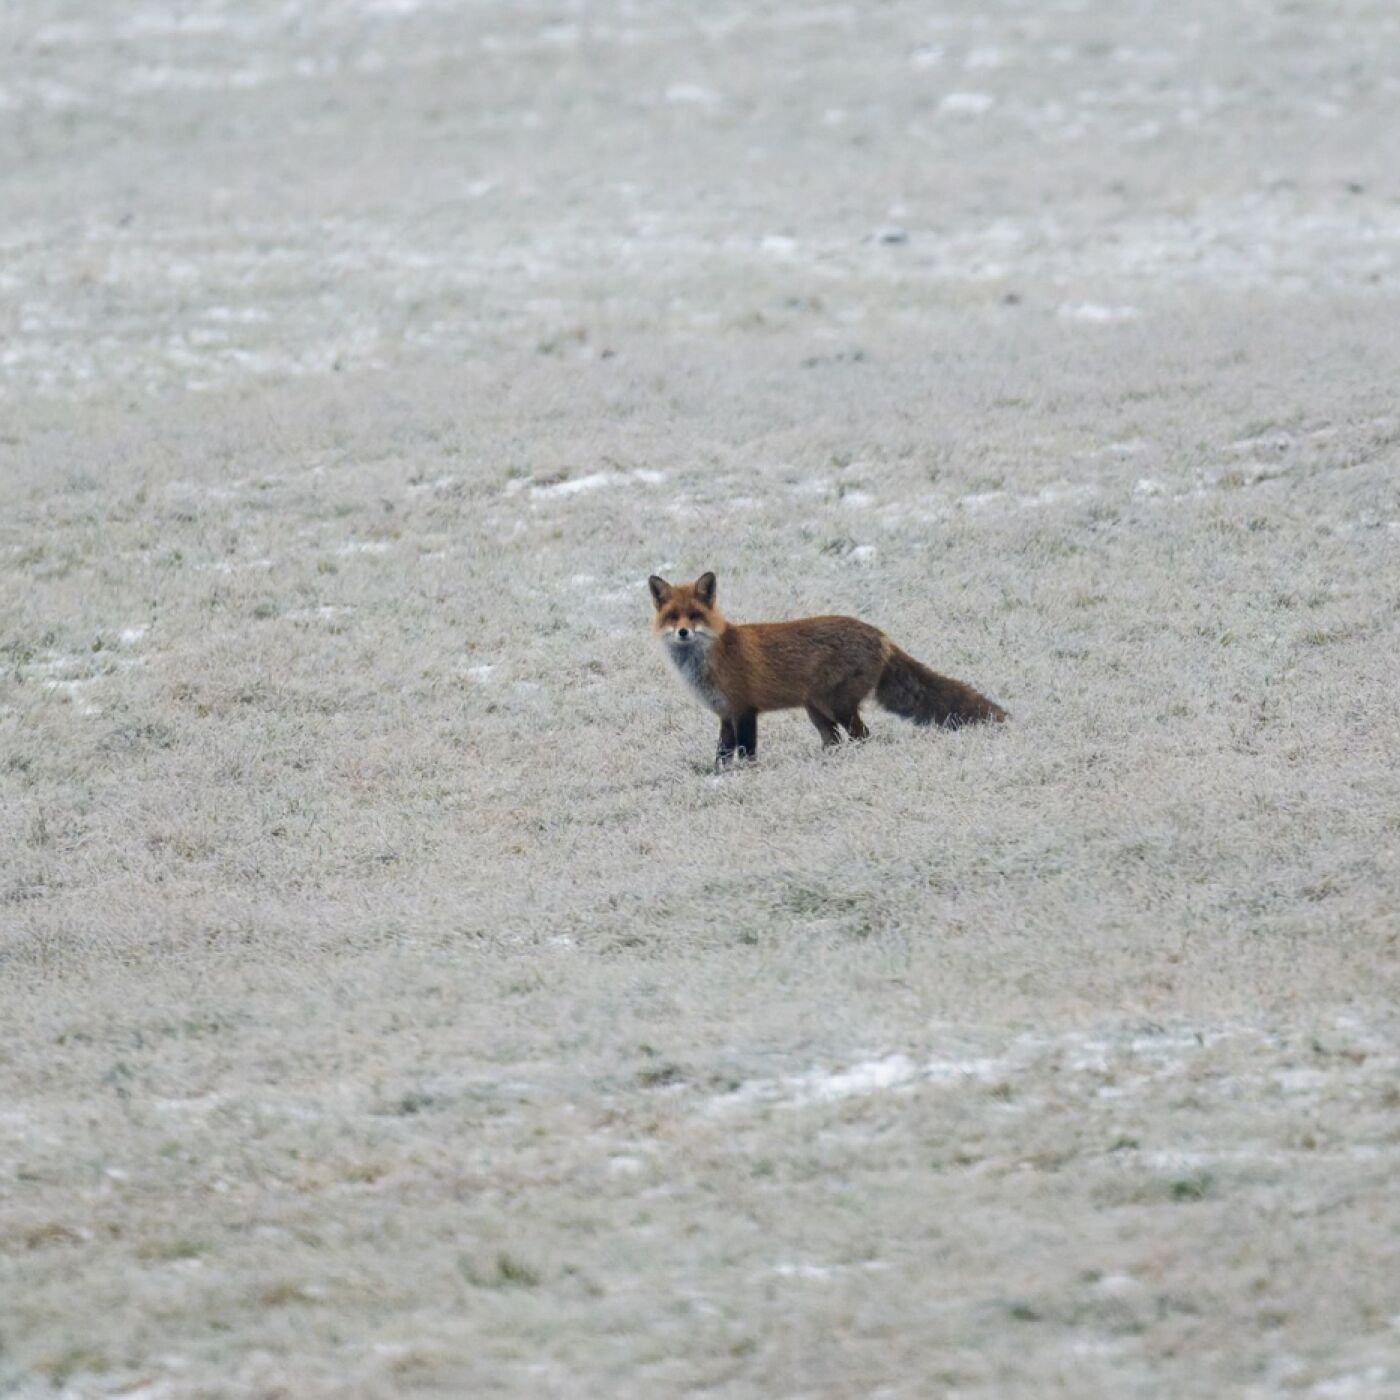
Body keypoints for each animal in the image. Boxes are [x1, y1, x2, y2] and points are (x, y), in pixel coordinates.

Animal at [649, 571, 1007, 765]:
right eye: (672, 617)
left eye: (695, 615)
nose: (683, 632)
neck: (712, 658)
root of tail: (881, 635)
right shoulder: (725, 714)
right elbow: (722, 753)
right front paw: (720, 774)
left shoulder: (745, 709)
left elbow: (746, 750)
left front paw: (747, 774)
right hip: (817, 711)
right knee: (834, 741)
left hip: (836, 706)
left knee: (862, 736)